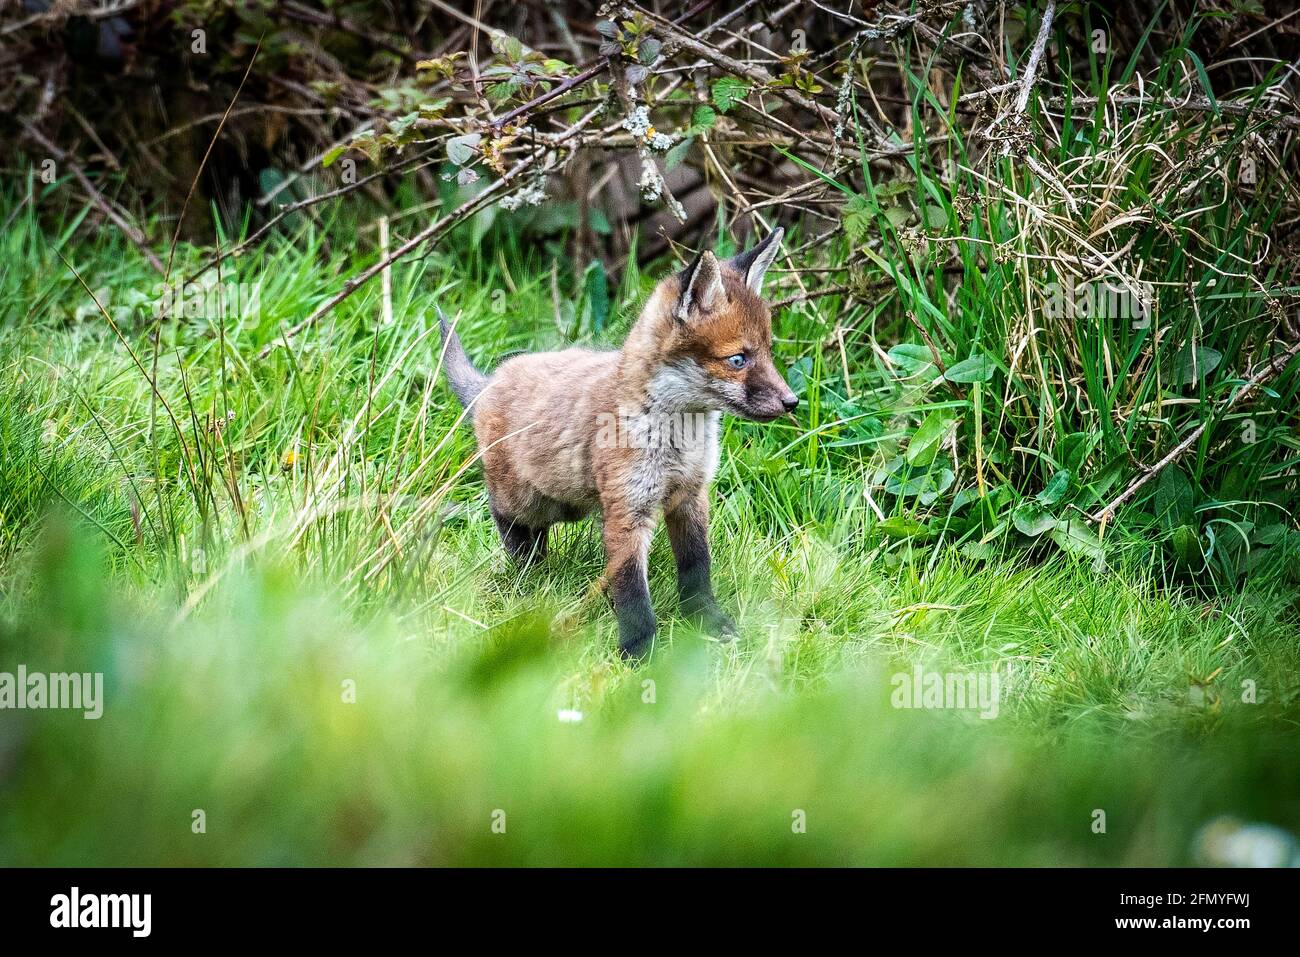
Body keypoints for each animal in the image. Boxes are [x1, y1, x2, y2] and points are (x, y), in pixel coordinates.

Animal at [438, 227, 797, 658]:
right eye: (738, 360)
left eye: (768, 353)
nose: (792, 402)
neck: (679, 437)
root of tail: (492, 381)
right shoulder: (628, 510)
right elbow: (632, 594)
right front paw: (640, 653)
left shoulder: (691, 497)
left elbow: (697, 569)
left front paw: (706, 622)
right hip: (529, 502)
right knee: (510, 524)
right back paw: (529, 576)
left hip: (570, 506)